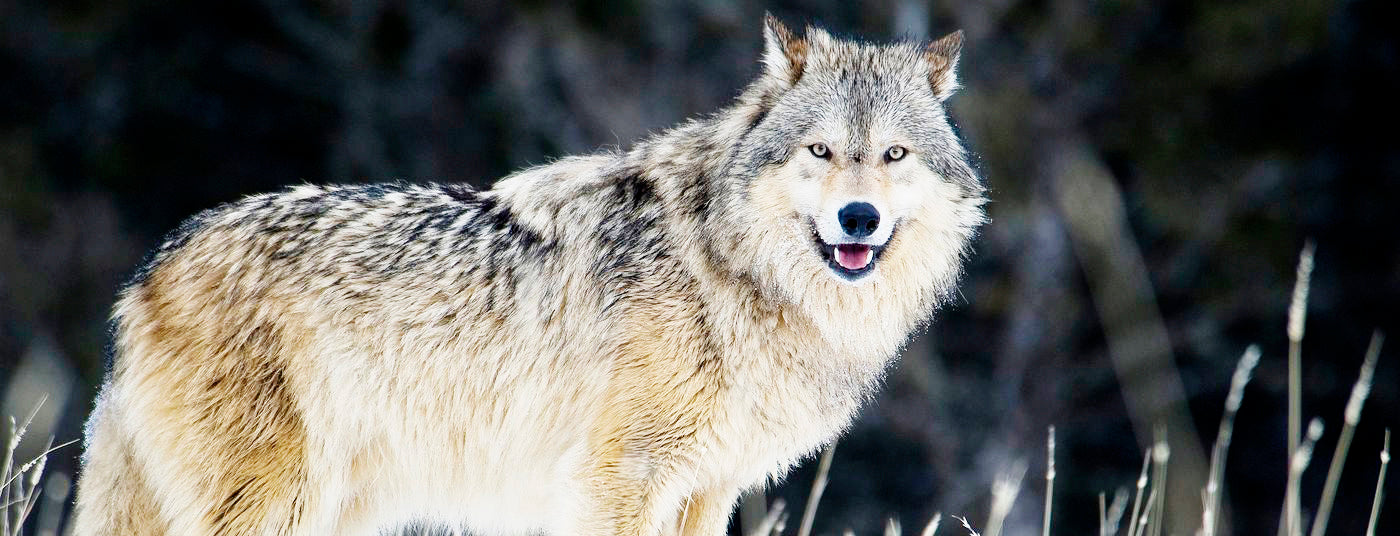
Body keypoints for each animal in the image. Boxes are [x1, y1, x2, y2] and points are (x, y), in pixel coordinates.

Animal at [71, 15, 985, 536]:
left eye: (894, 155)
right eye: (820, 151)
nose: (858, 219)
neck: (729, 271)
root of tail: (152, 265)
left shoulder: (706, 490)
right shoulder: (617, 479)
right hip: (274, 505)